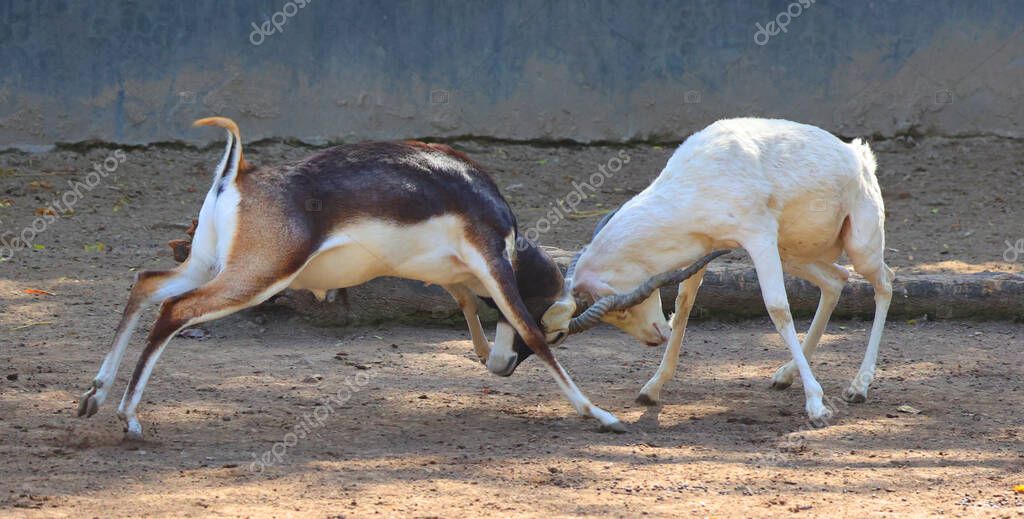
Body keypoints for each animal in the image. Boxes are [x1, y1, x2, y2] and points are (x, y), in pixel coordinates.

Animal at [76, 116, 631, 439]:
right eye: (562, 332)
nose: (502, 370)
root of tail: (240, 173)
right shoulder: (492, 258)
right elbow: (530, 333)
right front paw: (601, 415)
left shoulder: (459, 279)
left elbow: (469, 314)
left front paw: (483, 352)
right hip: (257, 277)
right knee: (176, 309)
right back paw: (128, 417)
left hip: (207, 264)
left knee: (146, 283)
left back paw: (96, 396)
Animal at [554, 118, 894, 427]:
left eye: (622, 310)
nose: (655, 338)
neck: (697, 178)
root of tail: (859, 155)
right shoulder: (704, 249)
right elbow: (684, 305)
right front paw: (650, 390)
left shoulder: (759, 236)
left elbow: (778, 309)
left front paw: (816, 406)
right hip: (791, 253)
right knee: (837, 280)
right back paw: (784, 376)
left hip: (859, 246)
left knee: (885, 282)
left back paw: (858, 387)